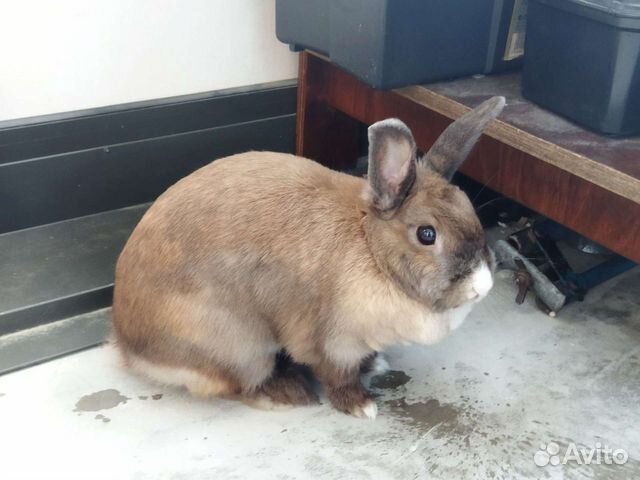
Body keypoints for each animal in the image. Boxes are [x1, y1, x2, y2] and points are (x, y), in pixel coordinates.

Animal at [112, 96, 505, 419]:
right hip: (240, 347)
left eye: (470, 210)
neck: (371, 250)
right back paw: (286, 395)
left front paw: (375, 364)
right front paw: (361, 406)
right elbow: (338, 378)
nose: (484, 285)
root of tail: (129, 347)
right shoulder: (333, 342)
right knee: (239, 386)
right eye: (427, 234)